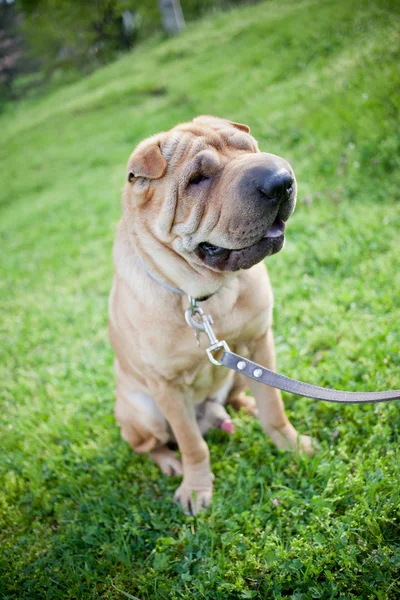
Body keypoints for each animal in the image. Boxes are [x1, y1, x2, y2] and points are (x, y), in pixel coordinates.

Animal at [108, 118, 312, 516]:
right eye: (197, 179)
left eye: (249, 148)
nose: (281, 180)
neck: (203, 298)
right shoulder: (167, 385)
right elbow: (191, 444)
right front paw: (196, 488)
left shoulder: (258, 342)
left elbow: (274, 406)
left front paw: (292, 445)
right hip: (143, 412)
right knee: (153, 445)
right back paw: (170, 463)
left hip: (236, 373)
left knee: (237, 398)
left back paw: (246, 408)